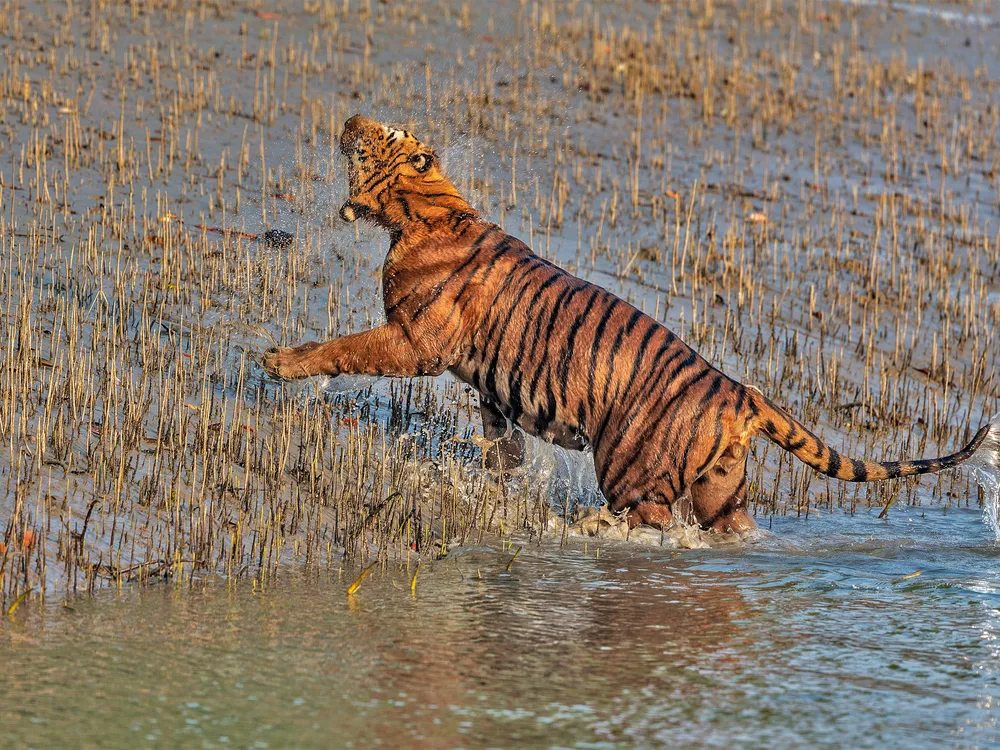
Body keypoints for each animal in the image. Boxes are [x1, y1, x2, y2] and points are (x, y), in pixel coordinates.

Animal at [261, 114, 1000, 534]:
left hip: (630, 464)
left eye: (378, 139)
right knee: (727, 529)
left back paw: (592, 531)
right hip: (721, 490)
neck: (425, 207)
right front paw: (496, 480)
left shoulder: (414, 344)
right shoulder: (486, 383)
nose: (351, 114)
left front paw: (276, 362)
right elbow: (501, 440)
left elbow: (341, 347)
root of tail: (742, 393)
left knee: (648, 520)